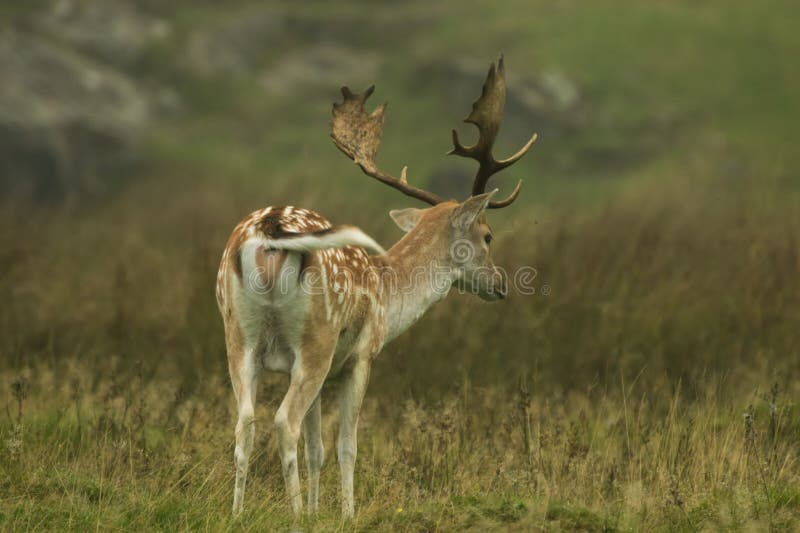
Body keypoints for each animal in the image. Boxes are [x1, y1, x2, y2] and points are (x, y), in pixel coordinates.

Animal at [216, 56, 537, 518]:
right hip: (316, 337)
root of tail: (269, 229)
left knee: (245, 423)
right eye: (488, 236)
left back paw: (238, 514)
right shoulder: (361, 355)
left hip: (237, 334)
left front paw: (317, 513)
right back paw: (292, 517)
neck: (388, 290)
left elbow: (317, 449)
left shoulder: (317, 368)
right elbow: (346, 446)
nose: (501, 285)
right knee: (283, 422)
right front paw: (342, 515)